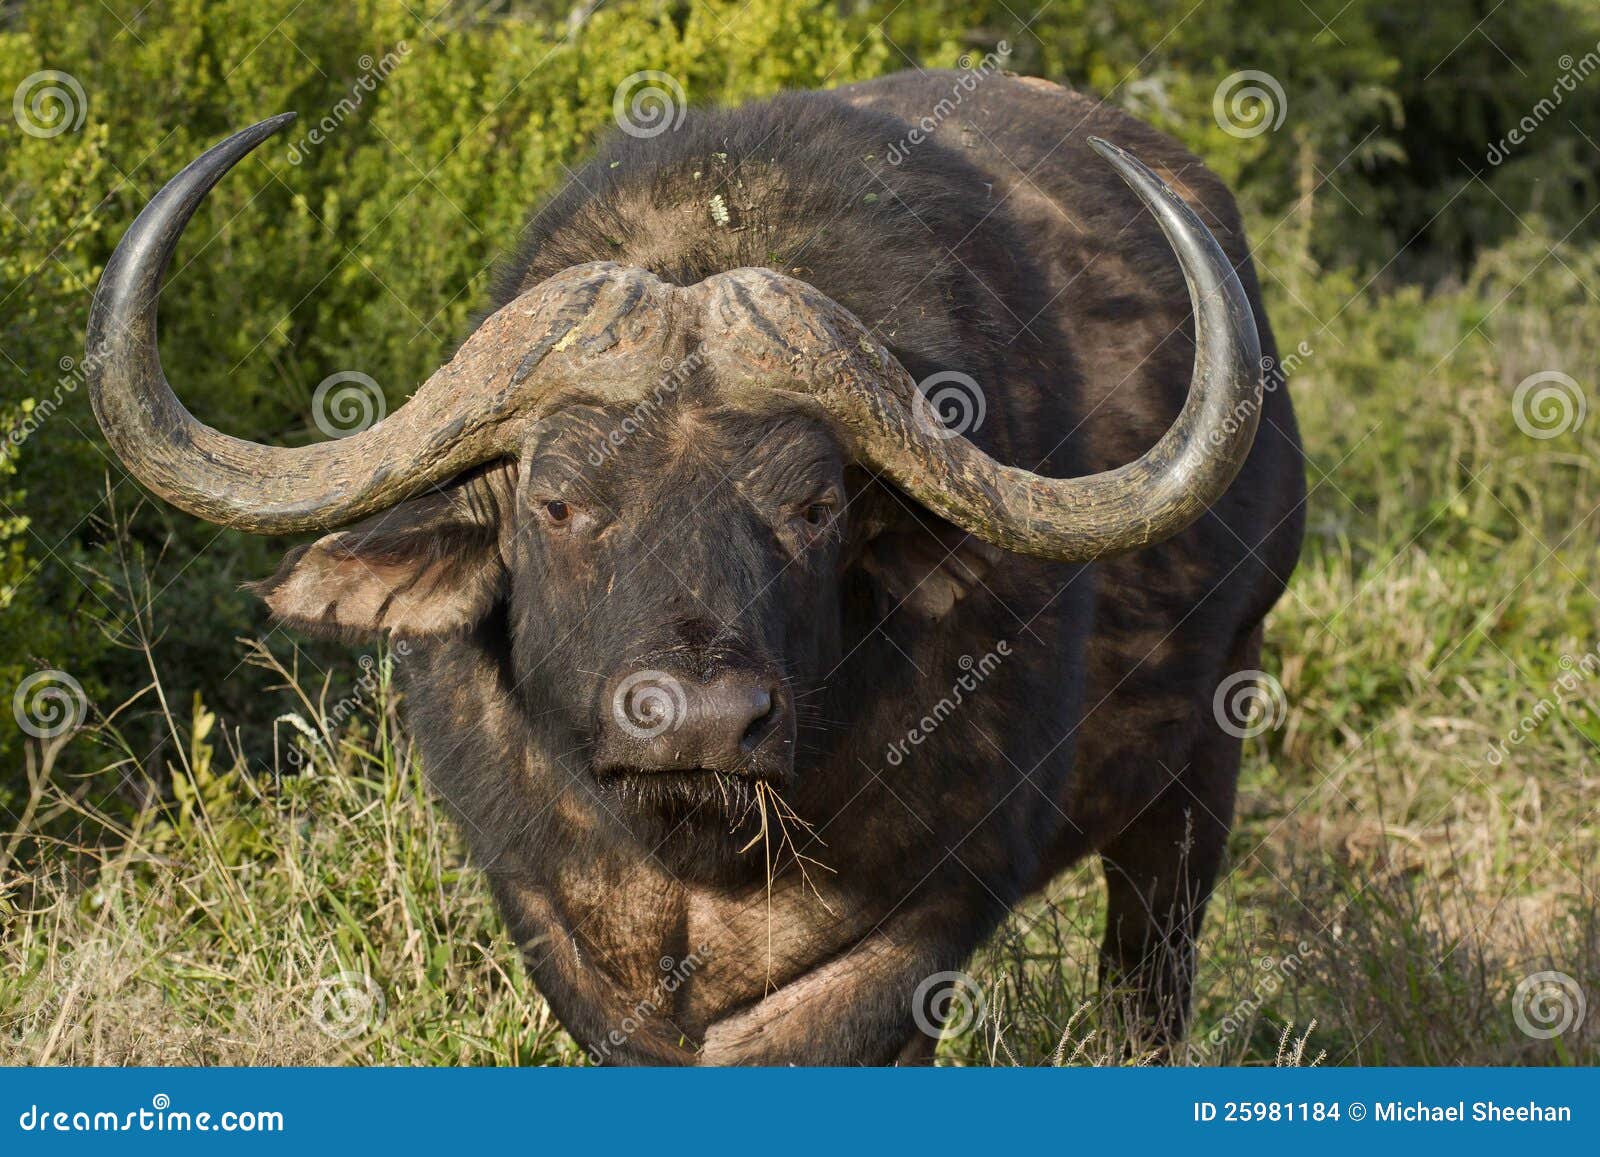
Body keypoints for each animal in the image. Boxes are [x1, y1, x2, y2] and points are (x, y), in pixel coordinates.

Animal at [87, 70, 1304, 1064]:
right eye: (558, 502)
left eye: (815, 507)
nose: (699, 719)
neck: (694, 854)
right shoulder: (552, 918)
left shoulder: (922, 924)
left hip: (1201, 764)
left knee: (1149, 965)